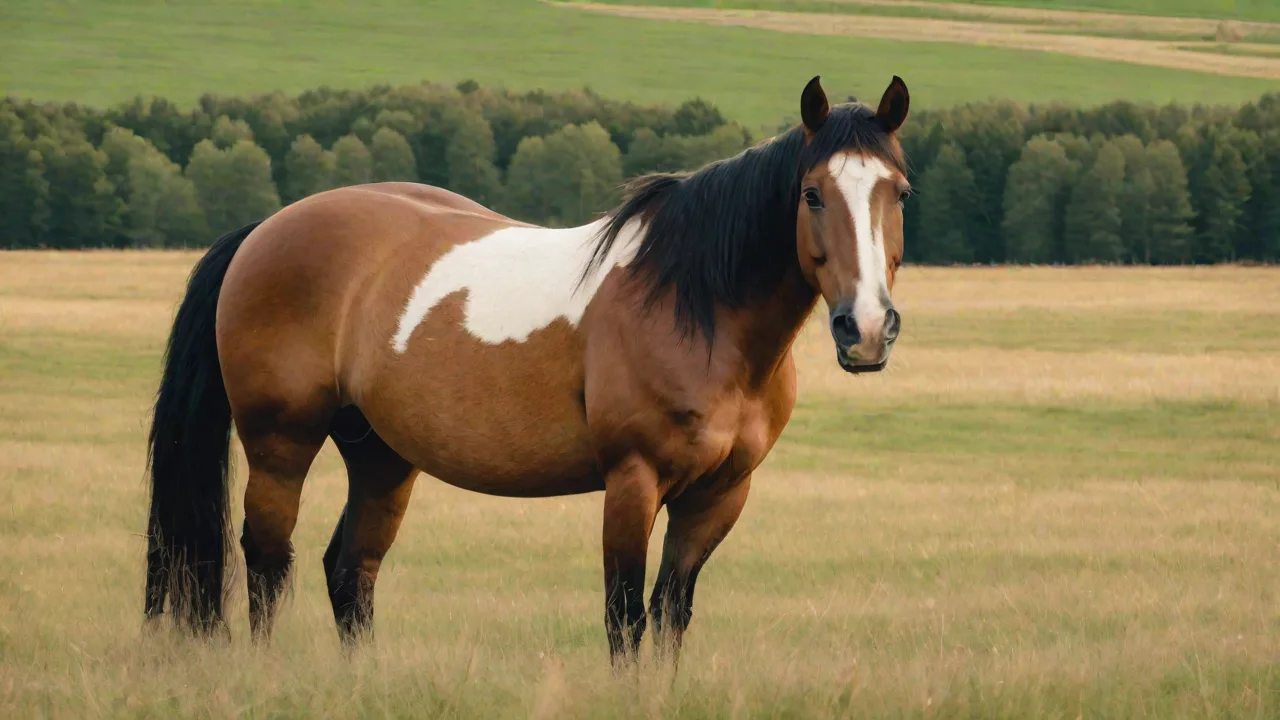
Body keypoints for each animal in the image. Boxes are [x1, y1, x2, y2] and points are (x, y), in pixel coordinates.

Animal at [143, 74, 912, 667]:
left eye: (898, 193)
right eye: (812, 192)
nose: (867, 328)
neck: (696, 307)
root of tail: (266, 229)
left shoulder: (718, 495)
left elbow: (671, 613)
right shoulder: (632, 483)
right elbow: (625, 615)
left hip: (381, 455)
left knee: (349, 570)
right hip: (281, 445)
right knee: (269, 562)